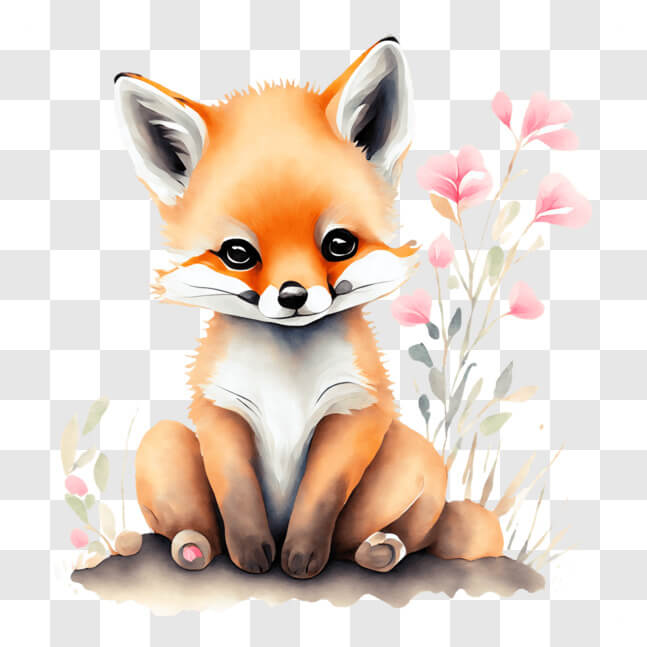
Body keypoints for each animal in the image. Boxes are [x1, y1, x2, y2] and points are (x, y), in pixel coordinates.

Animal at [114, 37, 504, 579]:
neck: (287, 377)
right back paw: (192, 548)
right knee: (195, 524)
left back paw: (380, 550)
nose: (293, 296)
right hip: (162, 442)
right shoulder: (221, 410)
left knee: (402, 537)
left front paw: (300, 559)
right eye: (238, 253)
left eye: (339, 244)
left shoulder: (355, 409)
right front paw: (252, 555)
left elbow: (319, 499)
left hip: (416, 457)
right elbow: (237, 498)